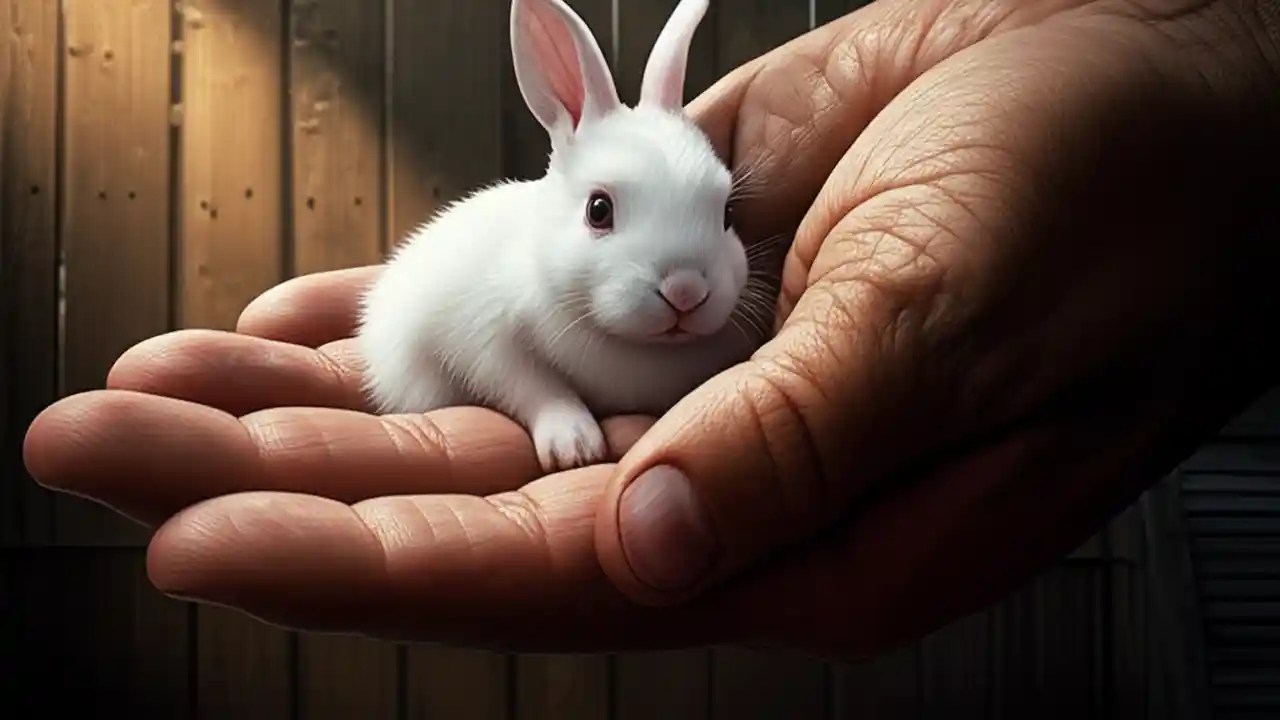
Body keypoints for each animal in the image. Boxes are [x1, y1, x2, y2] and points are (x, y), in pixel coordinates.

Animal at [356, 0, 770, 473]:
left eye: (727, 213)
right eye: (598, 210)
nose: (685, 290)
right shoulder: (484, 338)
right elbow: (533, 385)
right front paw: (573, 445)